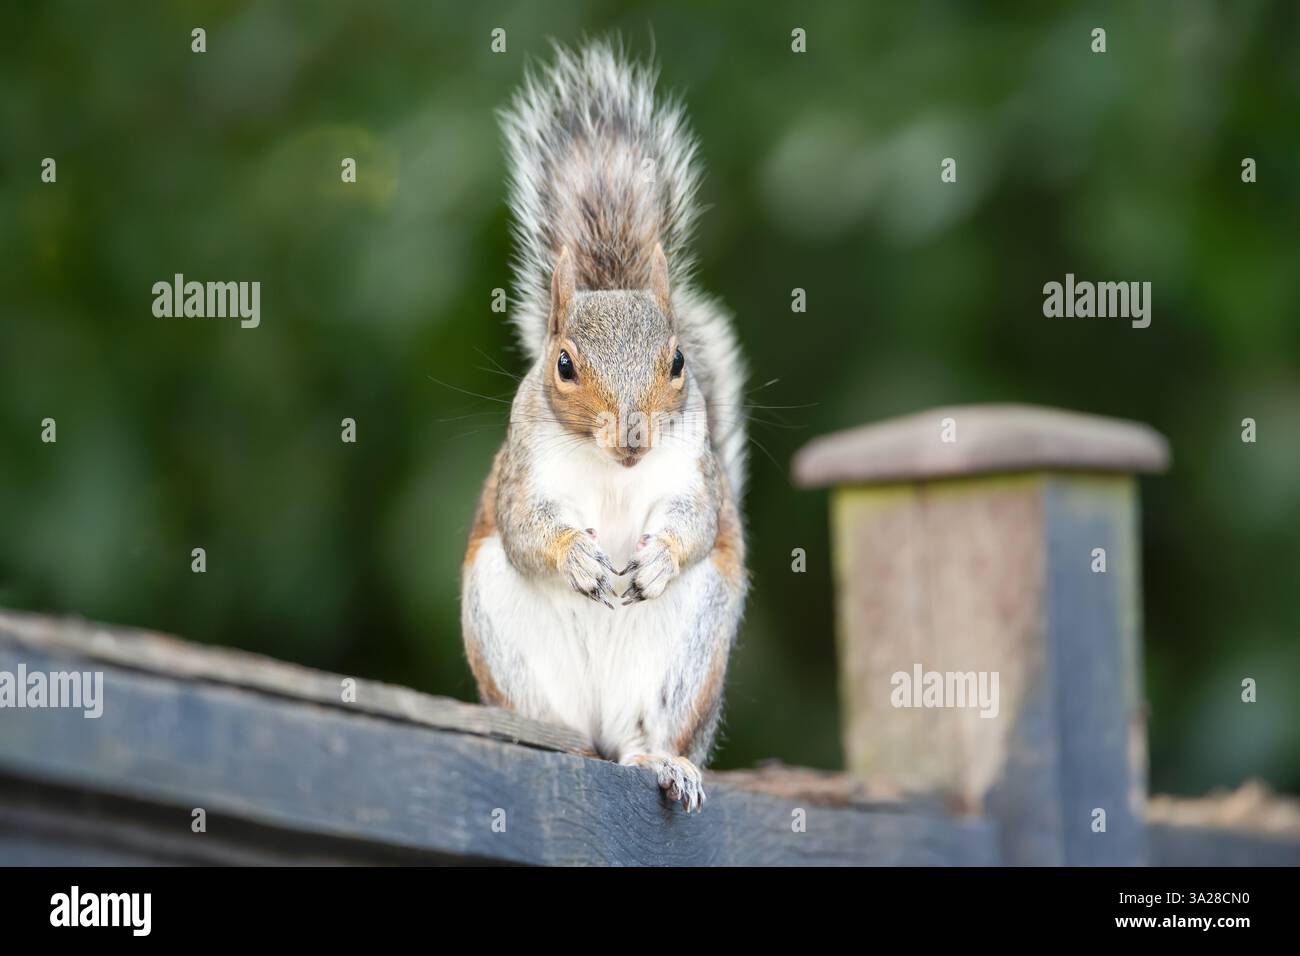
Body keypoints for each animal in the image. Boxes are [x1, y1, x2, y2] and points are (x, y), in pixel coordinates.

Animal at [461, 41, 748, 812]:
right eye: (563, 364)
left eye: (678, 361)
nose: (633, 436)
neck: (613, 472)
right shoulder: (523, 472)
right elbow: (526, 526)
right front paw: (578, 558)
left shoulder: (694, 473)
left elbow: (697, 522)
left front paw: (656, 559)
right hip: (506, 640)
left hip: (687, 662)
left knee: (643, 735)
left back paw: (662, 762)